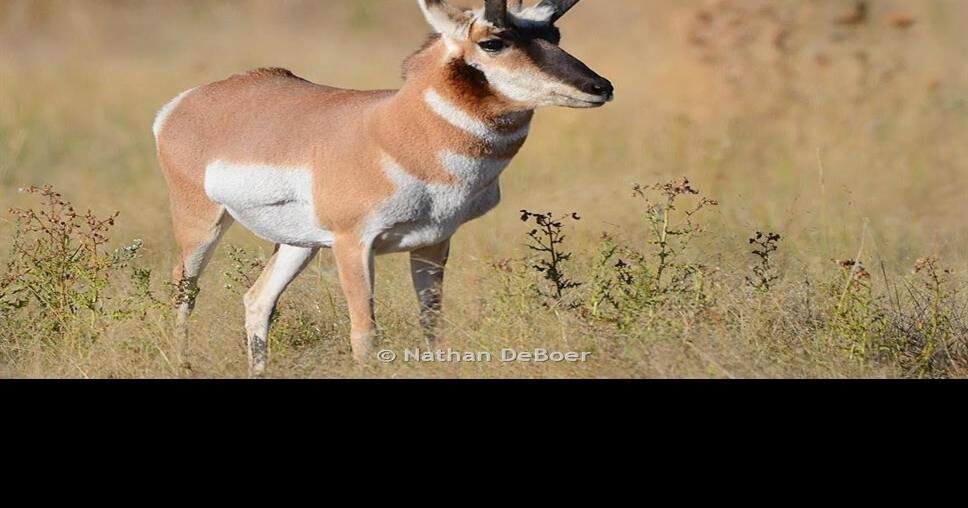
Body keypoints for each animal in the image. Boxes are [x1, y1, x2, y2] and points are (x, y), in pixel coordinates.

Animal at [153, 0, 613, 377]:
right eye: (493, 42)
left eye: (554, 35)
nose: (601, 87)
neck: (392, 129)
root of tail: (186, 102)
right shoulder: (353, 244)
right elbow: (365, 332)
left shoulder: (433, 242)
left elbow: (433, 326)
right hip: (202, 225)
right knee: (184, 291)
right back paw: (181, 364)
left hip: (299, 244)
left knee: (257, 299)